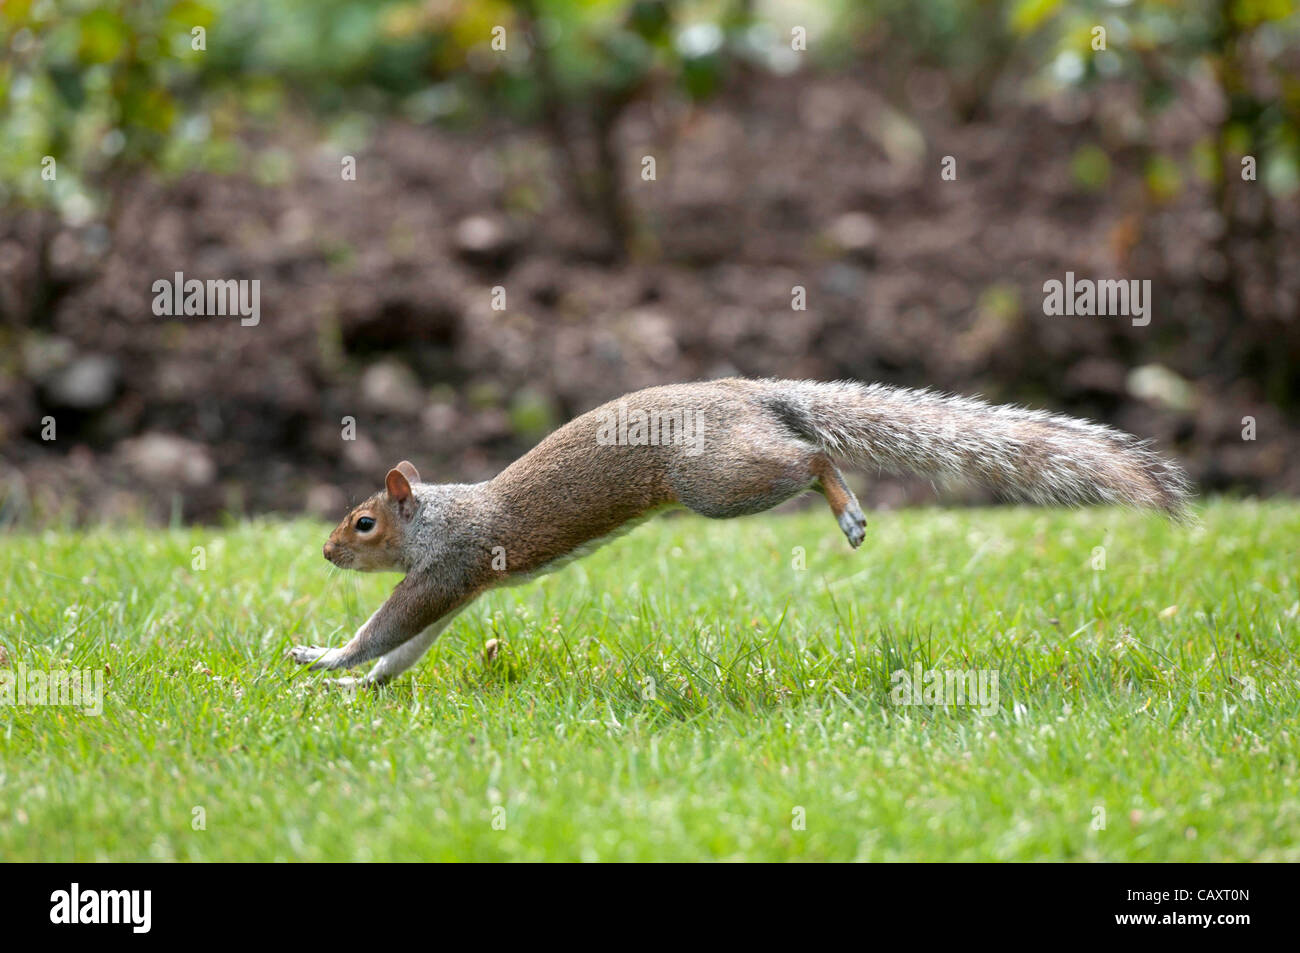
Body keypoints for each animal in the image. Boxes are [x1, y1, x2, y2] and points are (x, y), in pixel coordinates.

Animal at [290, 377, 1191, 687]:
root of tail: (754, 393)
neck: (441, 512)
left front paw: (327, 659)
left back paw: (845, 503)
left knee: (814, 455)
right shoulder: (458, 588)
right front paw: (354, 685)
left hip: (716, 482)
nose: (326, 551)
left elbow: (387, 627)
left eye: (363, 522)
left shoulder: (445, 568)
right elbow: (408, 648)